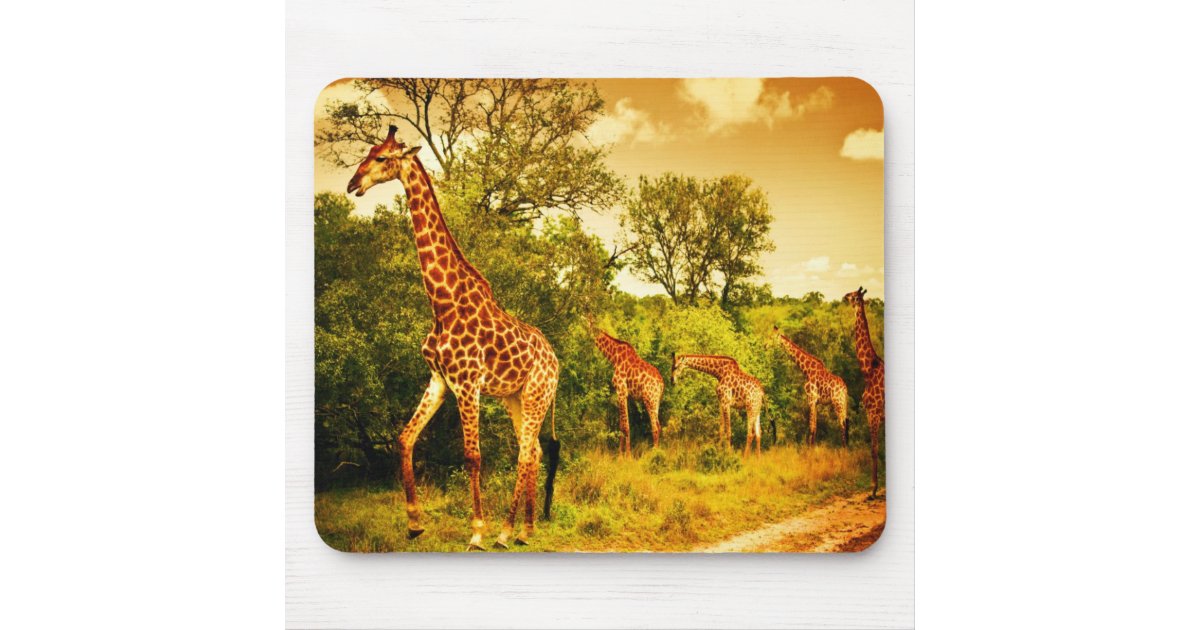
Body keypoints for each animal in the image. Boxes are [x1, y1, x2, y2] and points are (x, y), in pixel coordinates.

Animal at [346, 125, 561, 550]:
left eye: (382, 158)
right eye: (368, 151)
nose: (352, 184)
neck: (442, 304)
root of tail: (557, 360)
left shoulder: (467, 383)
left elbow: (472, 456)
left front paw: (477, 532)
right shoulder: (439, 380)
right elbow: (404, 438)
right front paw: (414, 523)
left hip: (536, 395)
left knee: (525, 453)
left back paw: (504, 532)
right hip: (515, 397)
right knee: (534, 451)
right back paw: (525, 529)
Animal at [587, 318, 664, 456]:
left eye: (586, 326)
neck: (613, 357)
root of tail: (661, 383)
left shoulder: (621, 391)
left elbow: (626, 426)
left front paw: (627, 456)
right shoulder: (622, 394)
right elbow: (621, 425)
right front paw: (620, 454)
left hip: (649, 399)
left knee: (655, 426)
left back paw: (654, 454)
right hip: (656, 401)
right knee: (658, 425)